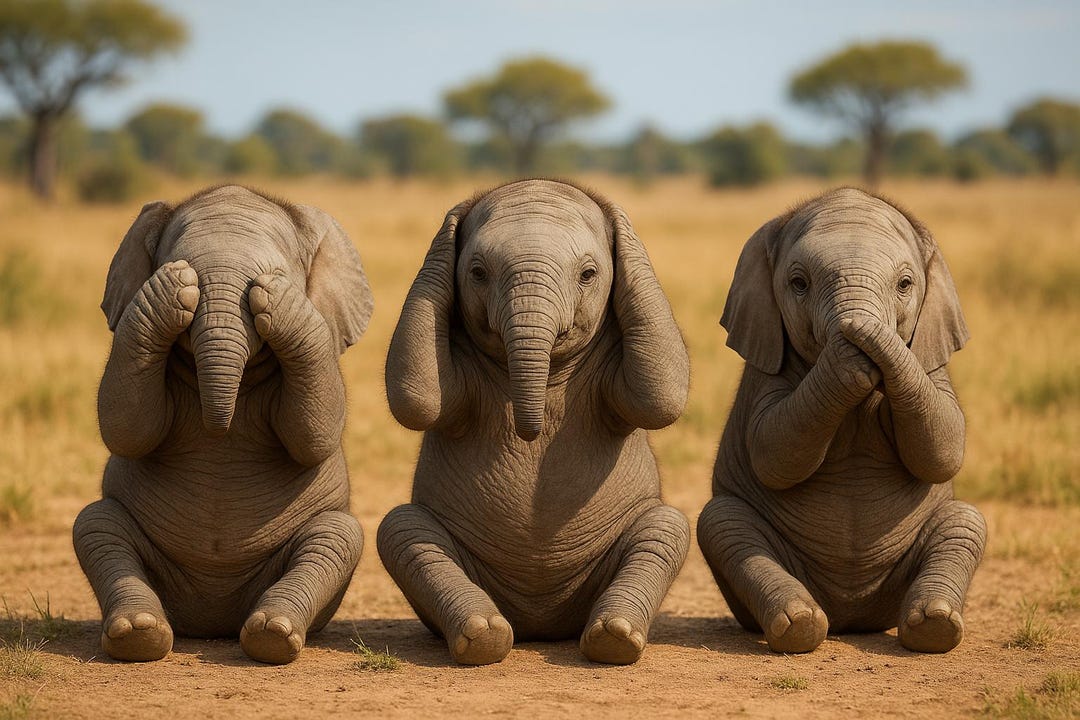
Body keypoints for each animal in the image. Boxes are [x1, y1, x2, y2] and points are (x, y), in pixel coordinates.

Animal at [72, 185, 373, 664]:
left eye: (277, 271)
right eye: (183, 266)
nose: (219, 427)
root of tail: (213, 626)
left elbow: (315, 431)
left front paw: (277, 296)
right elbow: (126, 425)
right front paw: (172, 285)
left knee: (336, 536)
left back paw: (272, 633)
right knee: (97, 525)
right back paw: (139, 632)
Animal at [378, 179, 691, 666]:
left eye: (588, 275)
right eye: (478, 273)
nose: (530, 431)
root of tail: (540, 627)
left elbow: (661, 394)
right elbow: (416, 397)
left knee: (665, 529)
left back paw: (613, 637)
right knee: (402, 531)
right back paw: (483, 635)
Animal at [697, 187, 986, 654]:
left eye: (905, 285)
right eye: (799, 284)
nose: (857, 324)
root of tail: (850, 620)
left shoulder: (931, 354)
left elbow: (944, 442)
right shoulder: (766, 360)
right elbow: (772, 448)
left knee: (965, 522)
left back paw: (933, 625)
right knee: (723, 524)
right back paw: (799, 623)